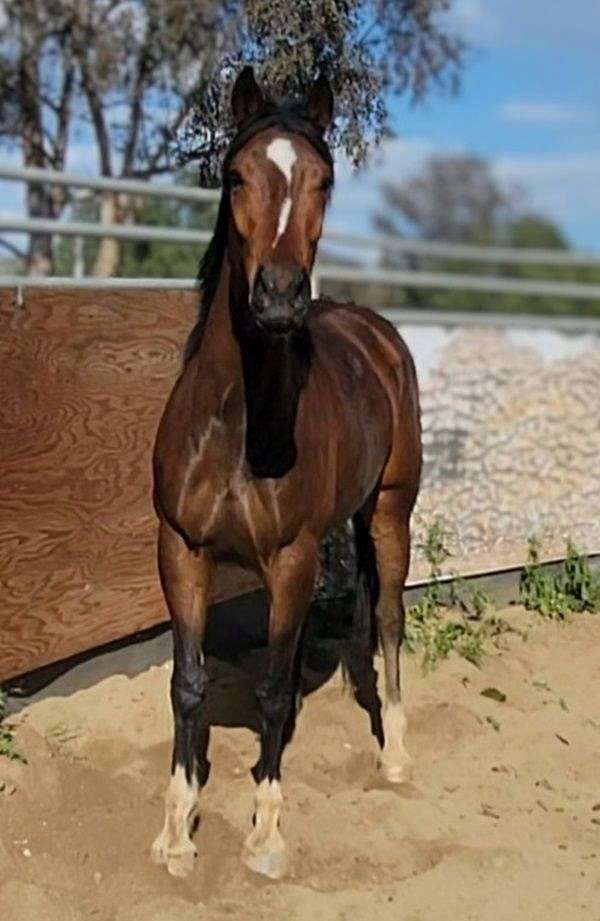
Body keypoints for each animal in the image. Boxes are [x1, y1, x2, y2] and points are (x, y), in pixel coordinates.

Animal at [151, 66, 422, 881]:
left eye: (324, 180)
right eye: (236, 175)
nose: (276, 298)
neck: (238, 422)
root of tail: (377, 332)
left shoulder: (294, 555)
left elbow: (268, 690)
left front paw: (265, 832)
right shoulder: (182, 550)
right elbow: (189, 684)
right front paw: (177, 830)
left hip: (390, 510)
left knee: (388, 619)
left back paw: (395, 755)